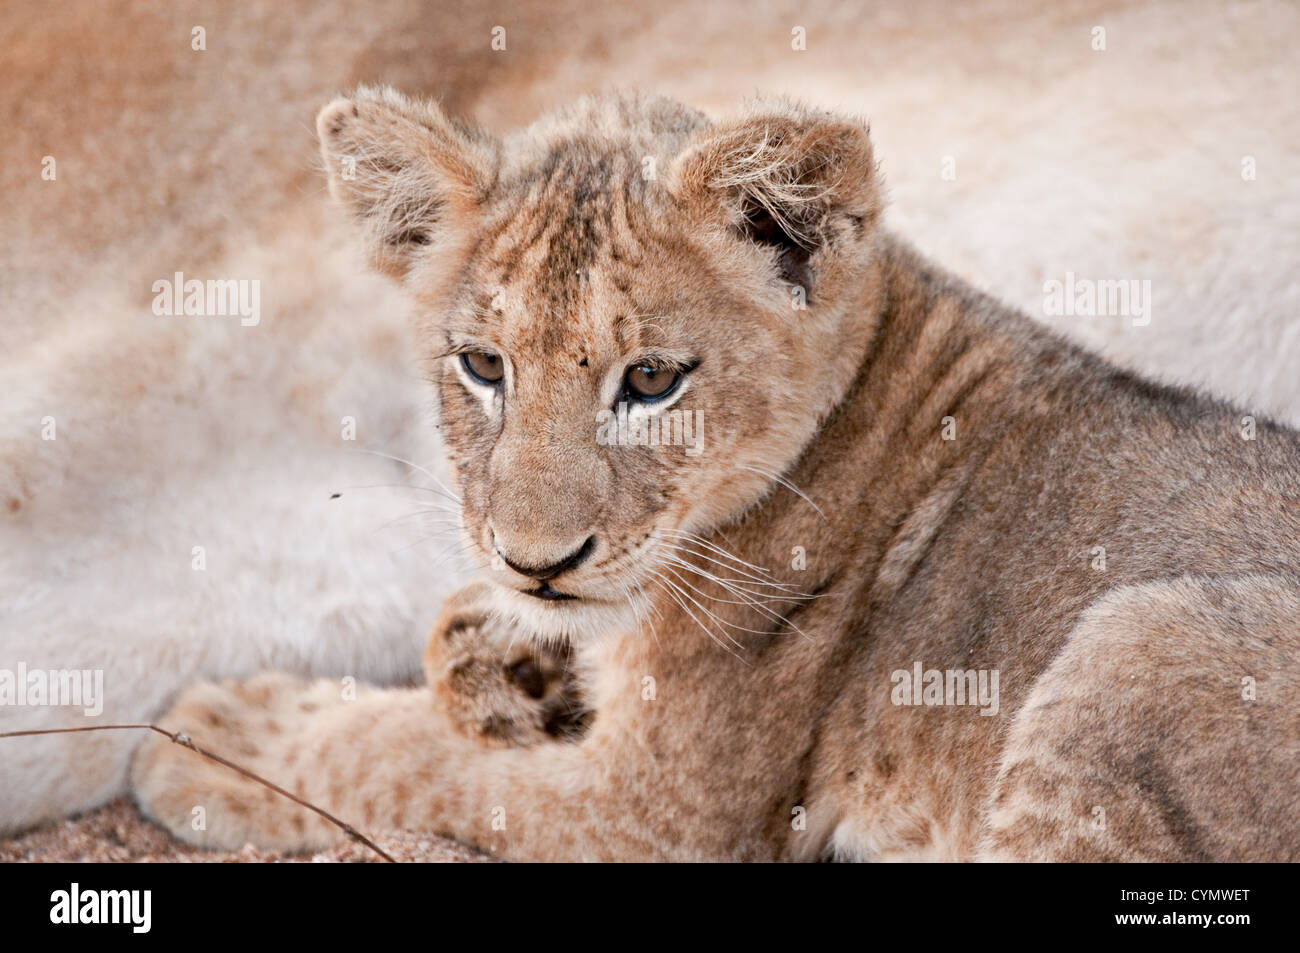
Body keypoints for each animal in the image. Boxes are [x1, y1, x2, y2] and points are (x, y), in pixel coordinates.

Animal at [131, 87, 1300, 861]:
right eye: (482, 366)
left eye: (651, 378)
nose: (535, 562)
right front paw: (499, 658)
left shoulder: (657, 813)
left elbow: (403, 758)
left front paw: (224, 736)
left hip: (1138, 637)